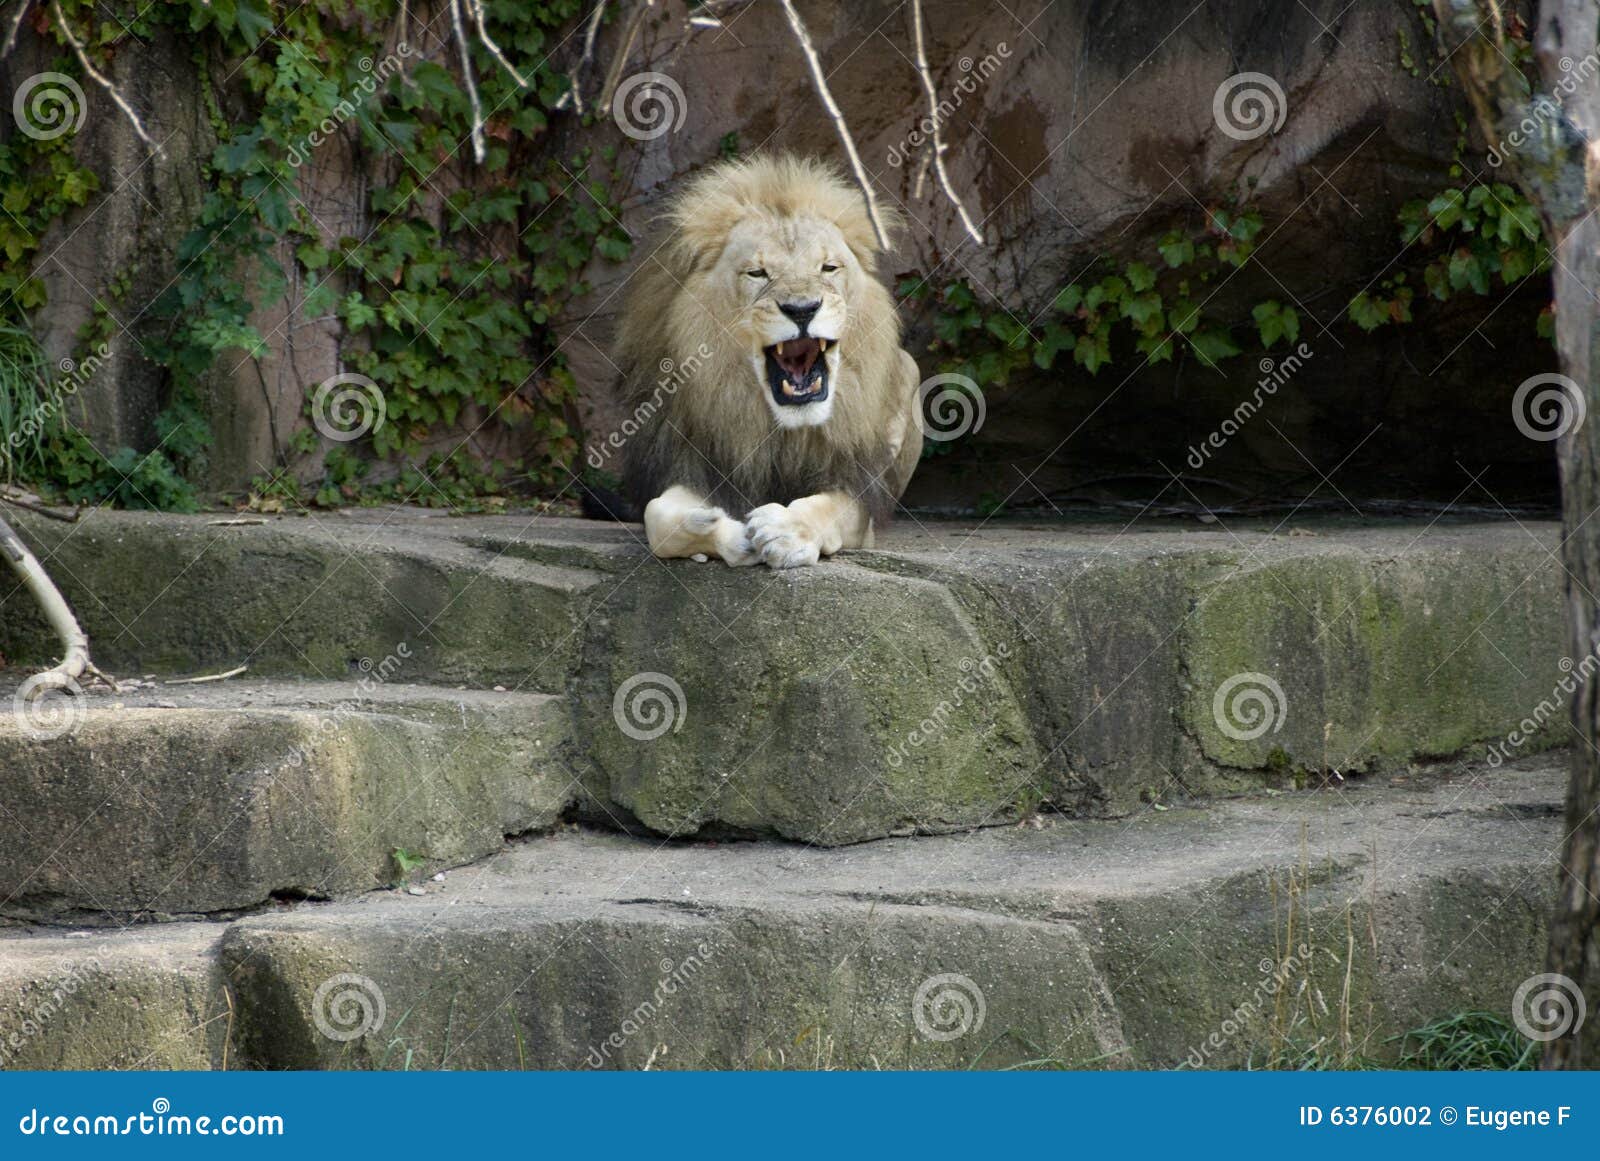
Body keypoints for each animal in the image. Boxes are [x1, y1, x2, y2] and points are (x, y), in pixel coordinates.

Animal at [607, 154, 923, 569]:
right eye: (757, 273)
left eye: (828, 268)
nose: (803, 309)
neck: (780, 427)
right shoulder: (695, 462)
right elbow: (657, 515)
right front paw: (726, 532)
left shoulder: (859, 491)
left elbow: (828, 508)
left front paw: (785, 529)